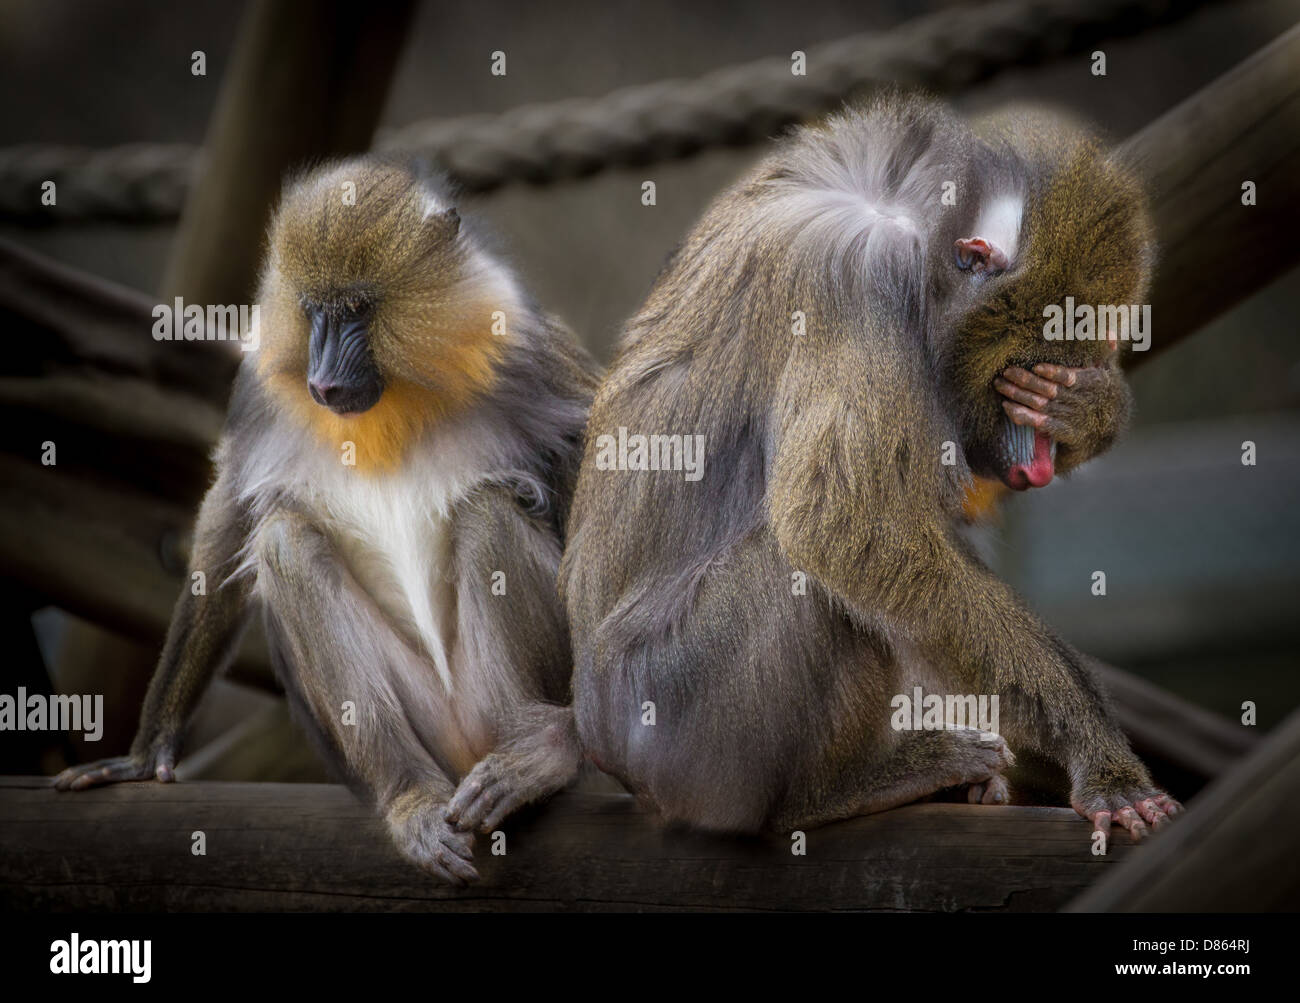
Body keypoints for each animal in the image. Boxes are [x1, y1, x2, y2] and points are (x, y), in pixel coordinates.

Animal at [54, 157, 601, 885]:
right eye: (314, 311)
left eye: (358, 310)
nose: (324, 380)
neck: (392, 400)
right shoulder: (262, 393)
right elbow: (229, 526)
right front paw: (143, 756)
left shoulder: (530, 352)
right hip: (424, 725)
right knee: (286, 544)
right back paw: (408, 797)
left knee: (487, 510)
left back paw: (538, 754)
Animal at [559, 92, 1181, 845]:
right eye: (1025, 369)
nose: (1037, 464)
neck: (919, 219)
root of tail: (602, 738)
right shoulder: (855, 282)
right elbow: (846, 530)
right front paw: (1092, 745)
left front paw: (1090, 408)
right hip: (683, 734)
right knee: (801, 574)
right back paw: (829, 793)